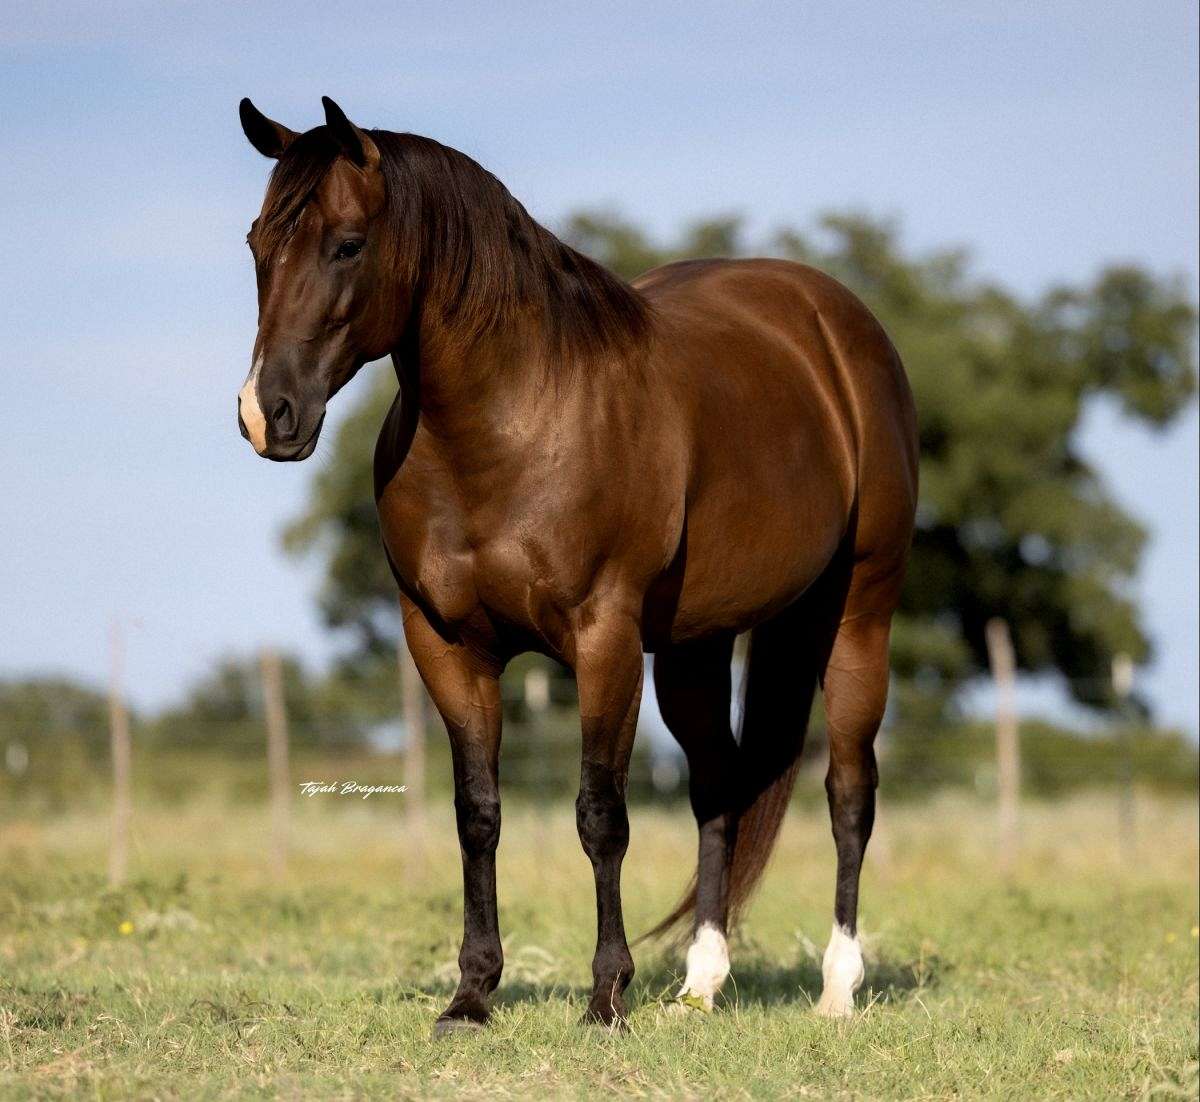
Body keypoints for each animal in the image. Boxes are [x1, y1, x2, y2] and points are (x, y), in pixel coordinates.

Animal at [236, 96, 918, 1033]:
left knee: (850, 796)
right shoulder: (446, 646)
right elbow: (477, 815)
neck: (509, 422)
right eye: (257, 243)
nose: (267, 414)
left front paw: (605, 996)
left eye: (346, 244)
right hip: (696, 647)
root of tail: (839, 330)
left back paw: (839, 988)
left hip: (857, 617)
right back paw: (700, 986)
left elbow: (601, 816)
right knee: (719, 792)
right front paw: (471, 995)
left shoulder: (604, 641)